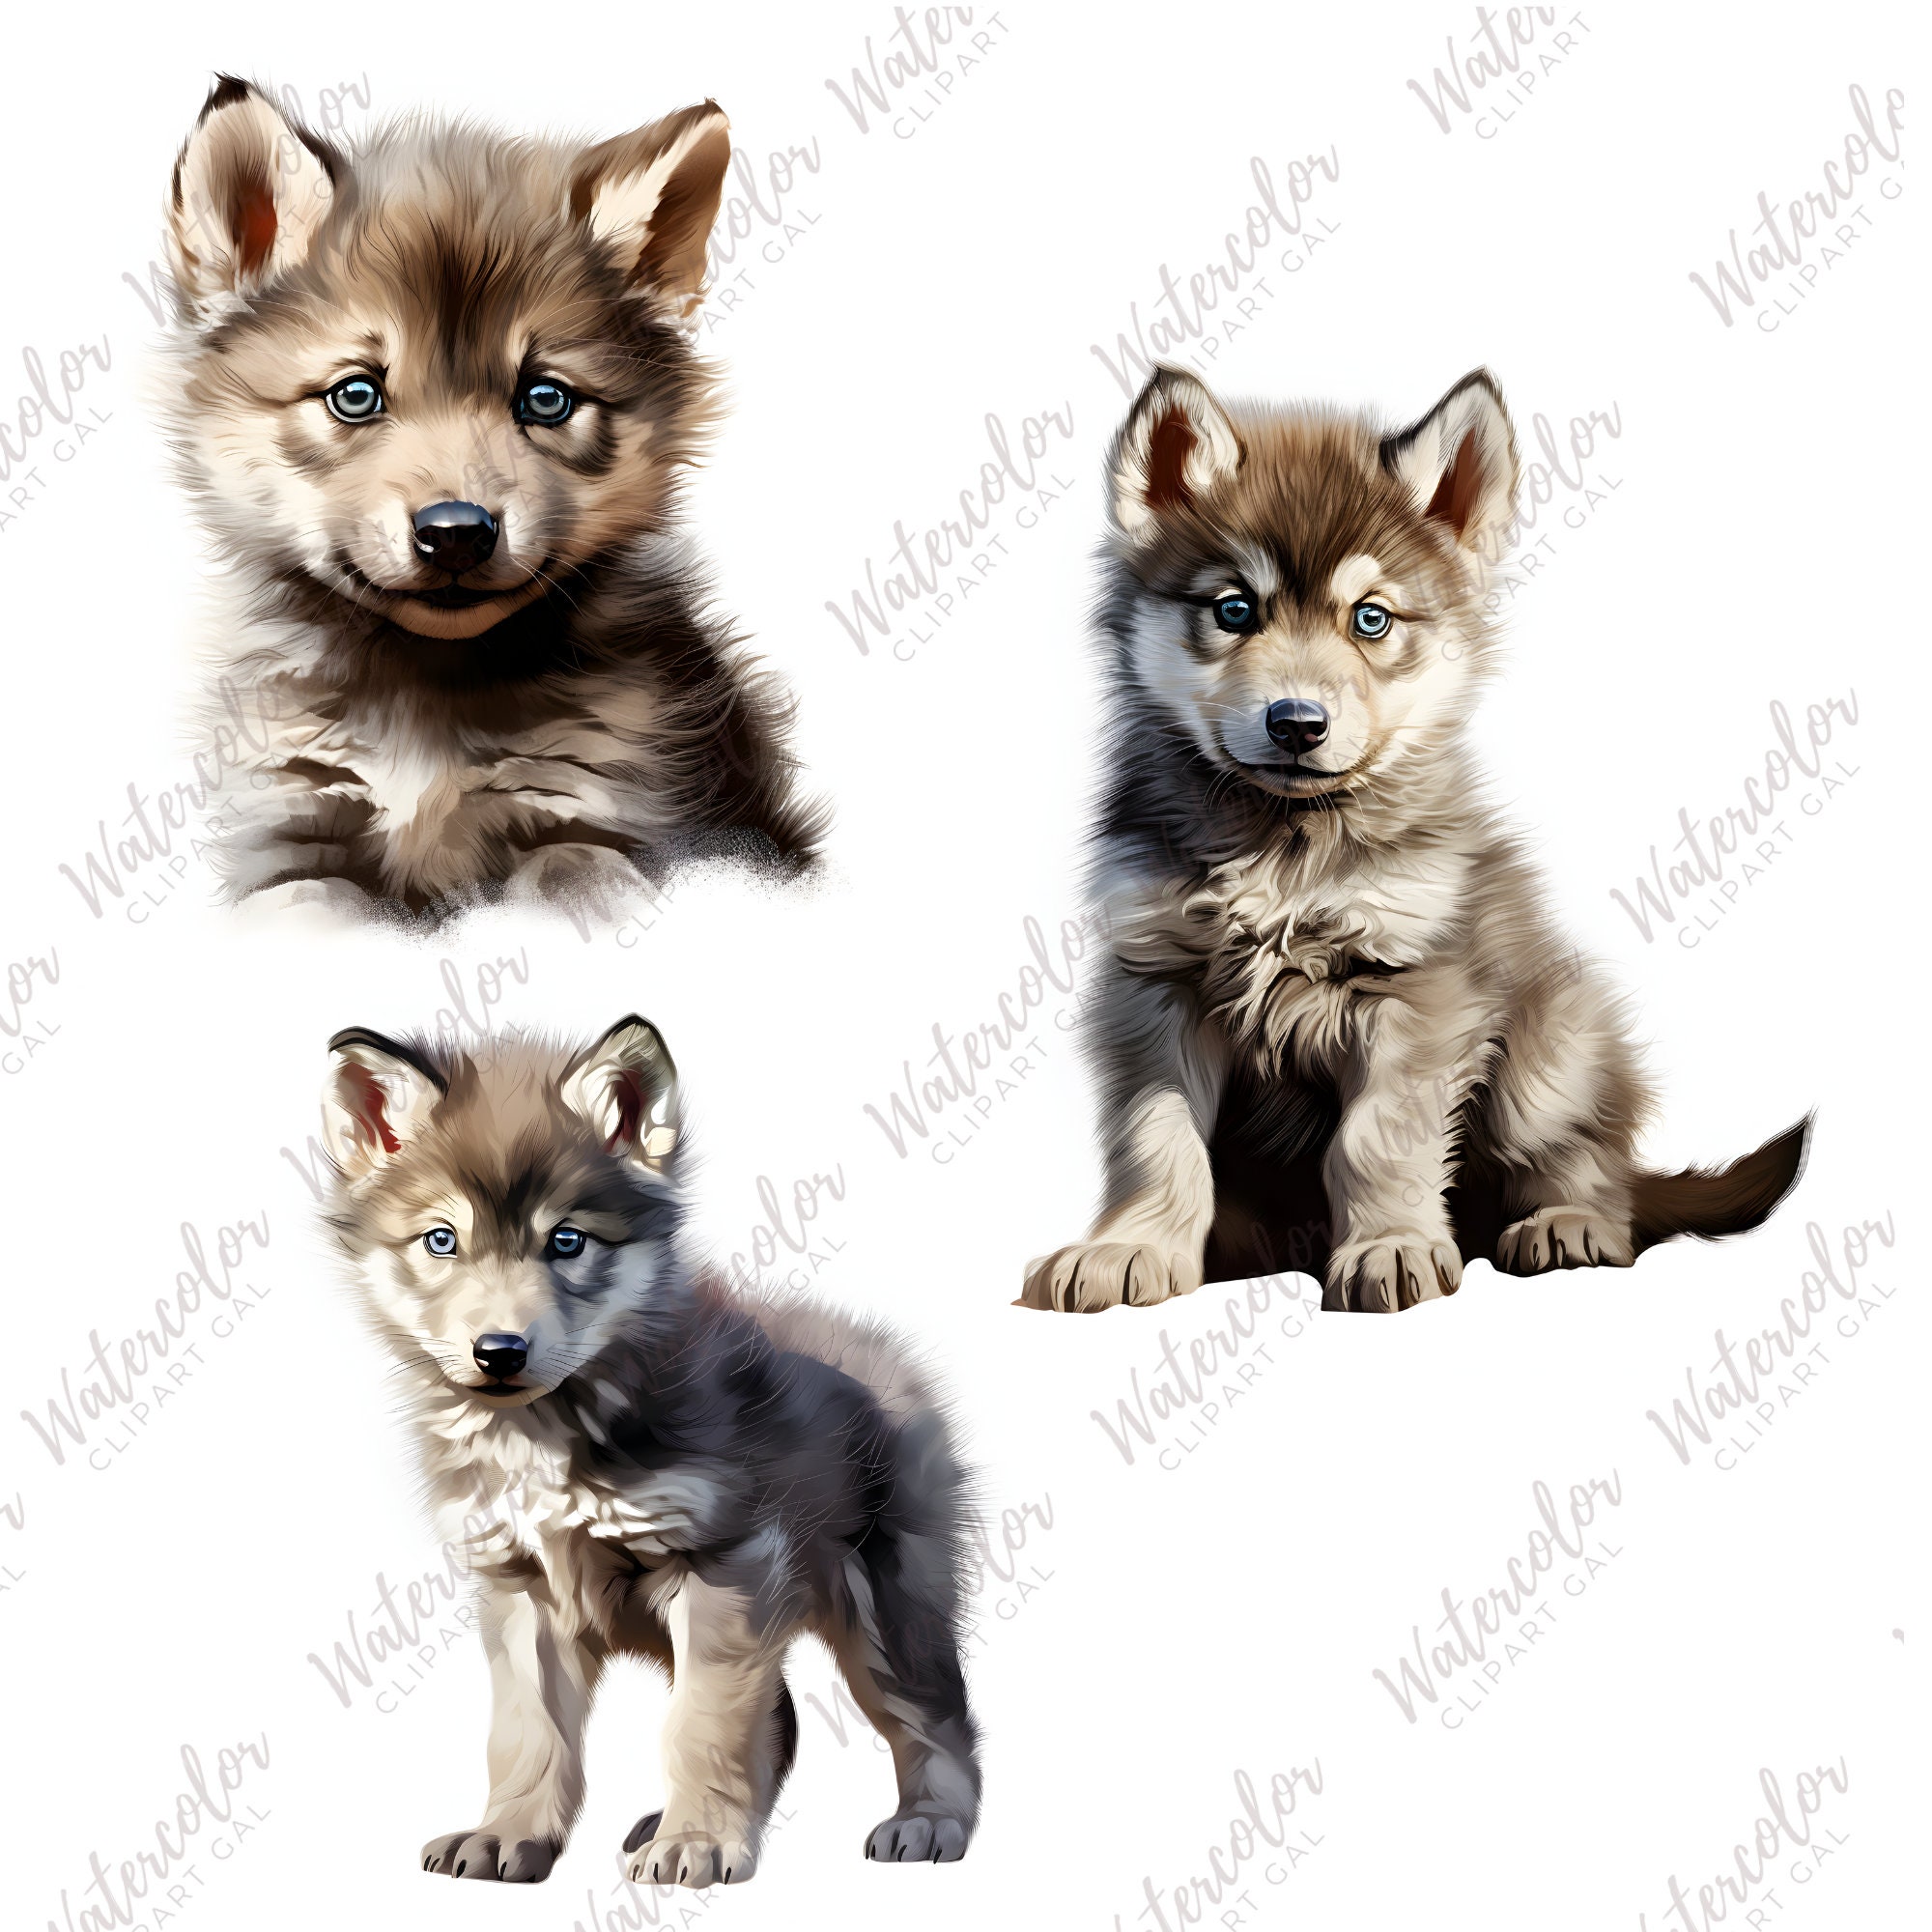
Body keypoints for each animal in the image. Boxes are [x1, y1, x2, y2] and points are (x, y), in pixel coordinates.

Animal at [158, 78, 824, 916]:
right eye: (355, 395)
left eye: (545, 399)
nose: (456, 533)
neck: (425, 695)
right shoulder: (295, 833)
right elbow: (310, 906)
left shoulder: (585, 821)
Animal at [319, 1018, 979, 1884]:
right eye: (441, 1240)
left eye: (567, 1241)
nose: (499, 1352)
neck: (546, 1435)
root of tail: (885, 1351)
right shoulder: (520, 1586)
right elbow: (527, 1737)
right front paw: (509, 1834)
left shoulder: (726, 1566)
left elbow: (702, 1726)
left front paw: (697, 1843)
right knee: (783, 1717)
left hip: (887, 1613)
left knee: (939, 1718)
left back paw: (931, 1823)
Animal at [1021, 365, 1807, 1315]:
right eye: (1234, 610)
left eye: (1371, 619)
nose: (1297, 724)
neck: (1286, 845)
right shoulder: (1155, 985)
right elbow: (1156, 1139)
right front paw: (1131, 1246)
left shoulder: (1418, 990)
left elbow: (1376, 1141)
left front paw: (1389, 1244)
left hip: (1548, 1054)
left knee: (1591, 1161)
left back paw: (1568, 1222)